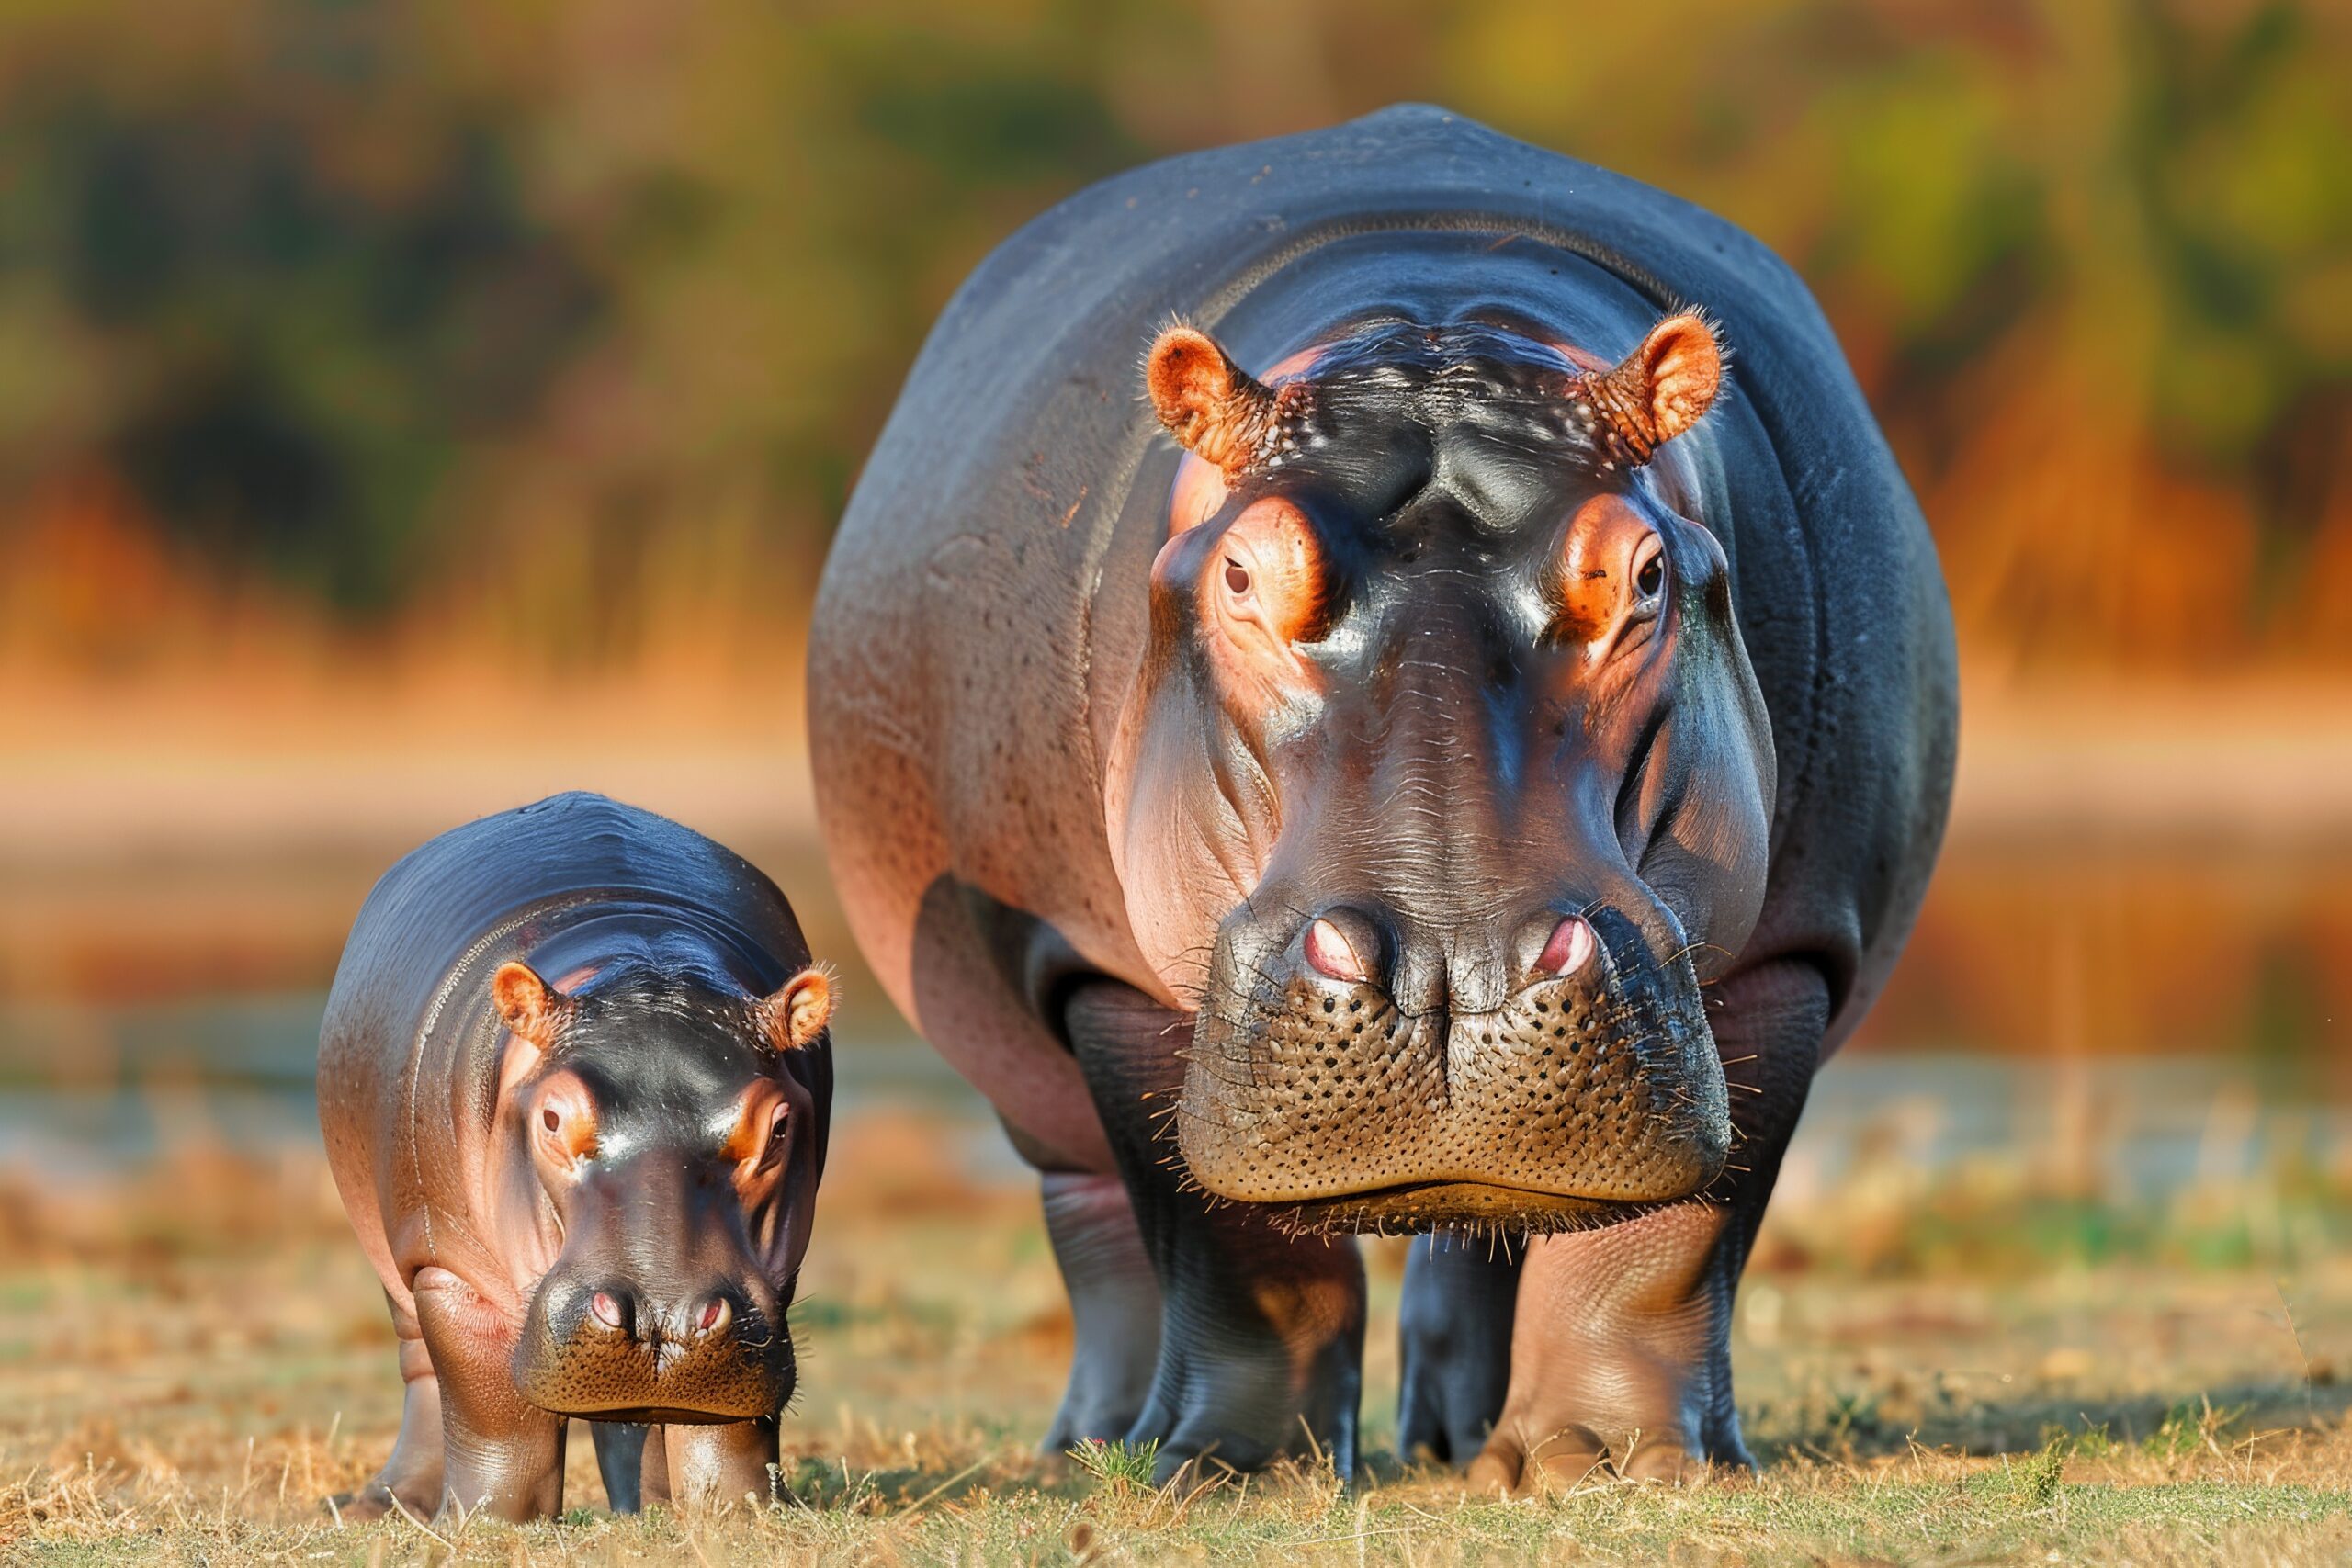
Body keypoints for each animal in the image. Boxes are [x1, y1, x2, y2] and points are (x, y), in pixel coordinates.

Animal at [317, 792, 835, 1521]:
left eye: (781, 1126)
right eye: (553, 1117)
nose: (662, 1320)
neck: (643, 963)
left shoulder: (772, 1284)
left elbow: (729, 1427)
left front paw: (741, 1516)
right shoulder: (450, 1268)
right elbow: (491, 1411)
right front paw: (489, 1522)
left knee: (634, 1418)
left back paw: (650, 1509)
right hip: (402, 1256)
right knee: (421, 1367)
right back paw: (387, 1505)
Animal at [809, 105, 1956, 1488]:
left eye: (1643, 574)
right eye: (1240, 572)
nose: (1450, 967)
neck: (1438, 328)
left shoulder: (1788, 952)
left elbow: (1664, 1246)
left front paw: (1602, 1461)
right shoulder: (1116, 980)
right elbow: (1230, 1247)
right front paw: (1234, 1464)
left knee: (1487, 1229)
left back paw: (1462, 1441)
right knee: (1096, 1219)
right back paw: (1097, 1444)